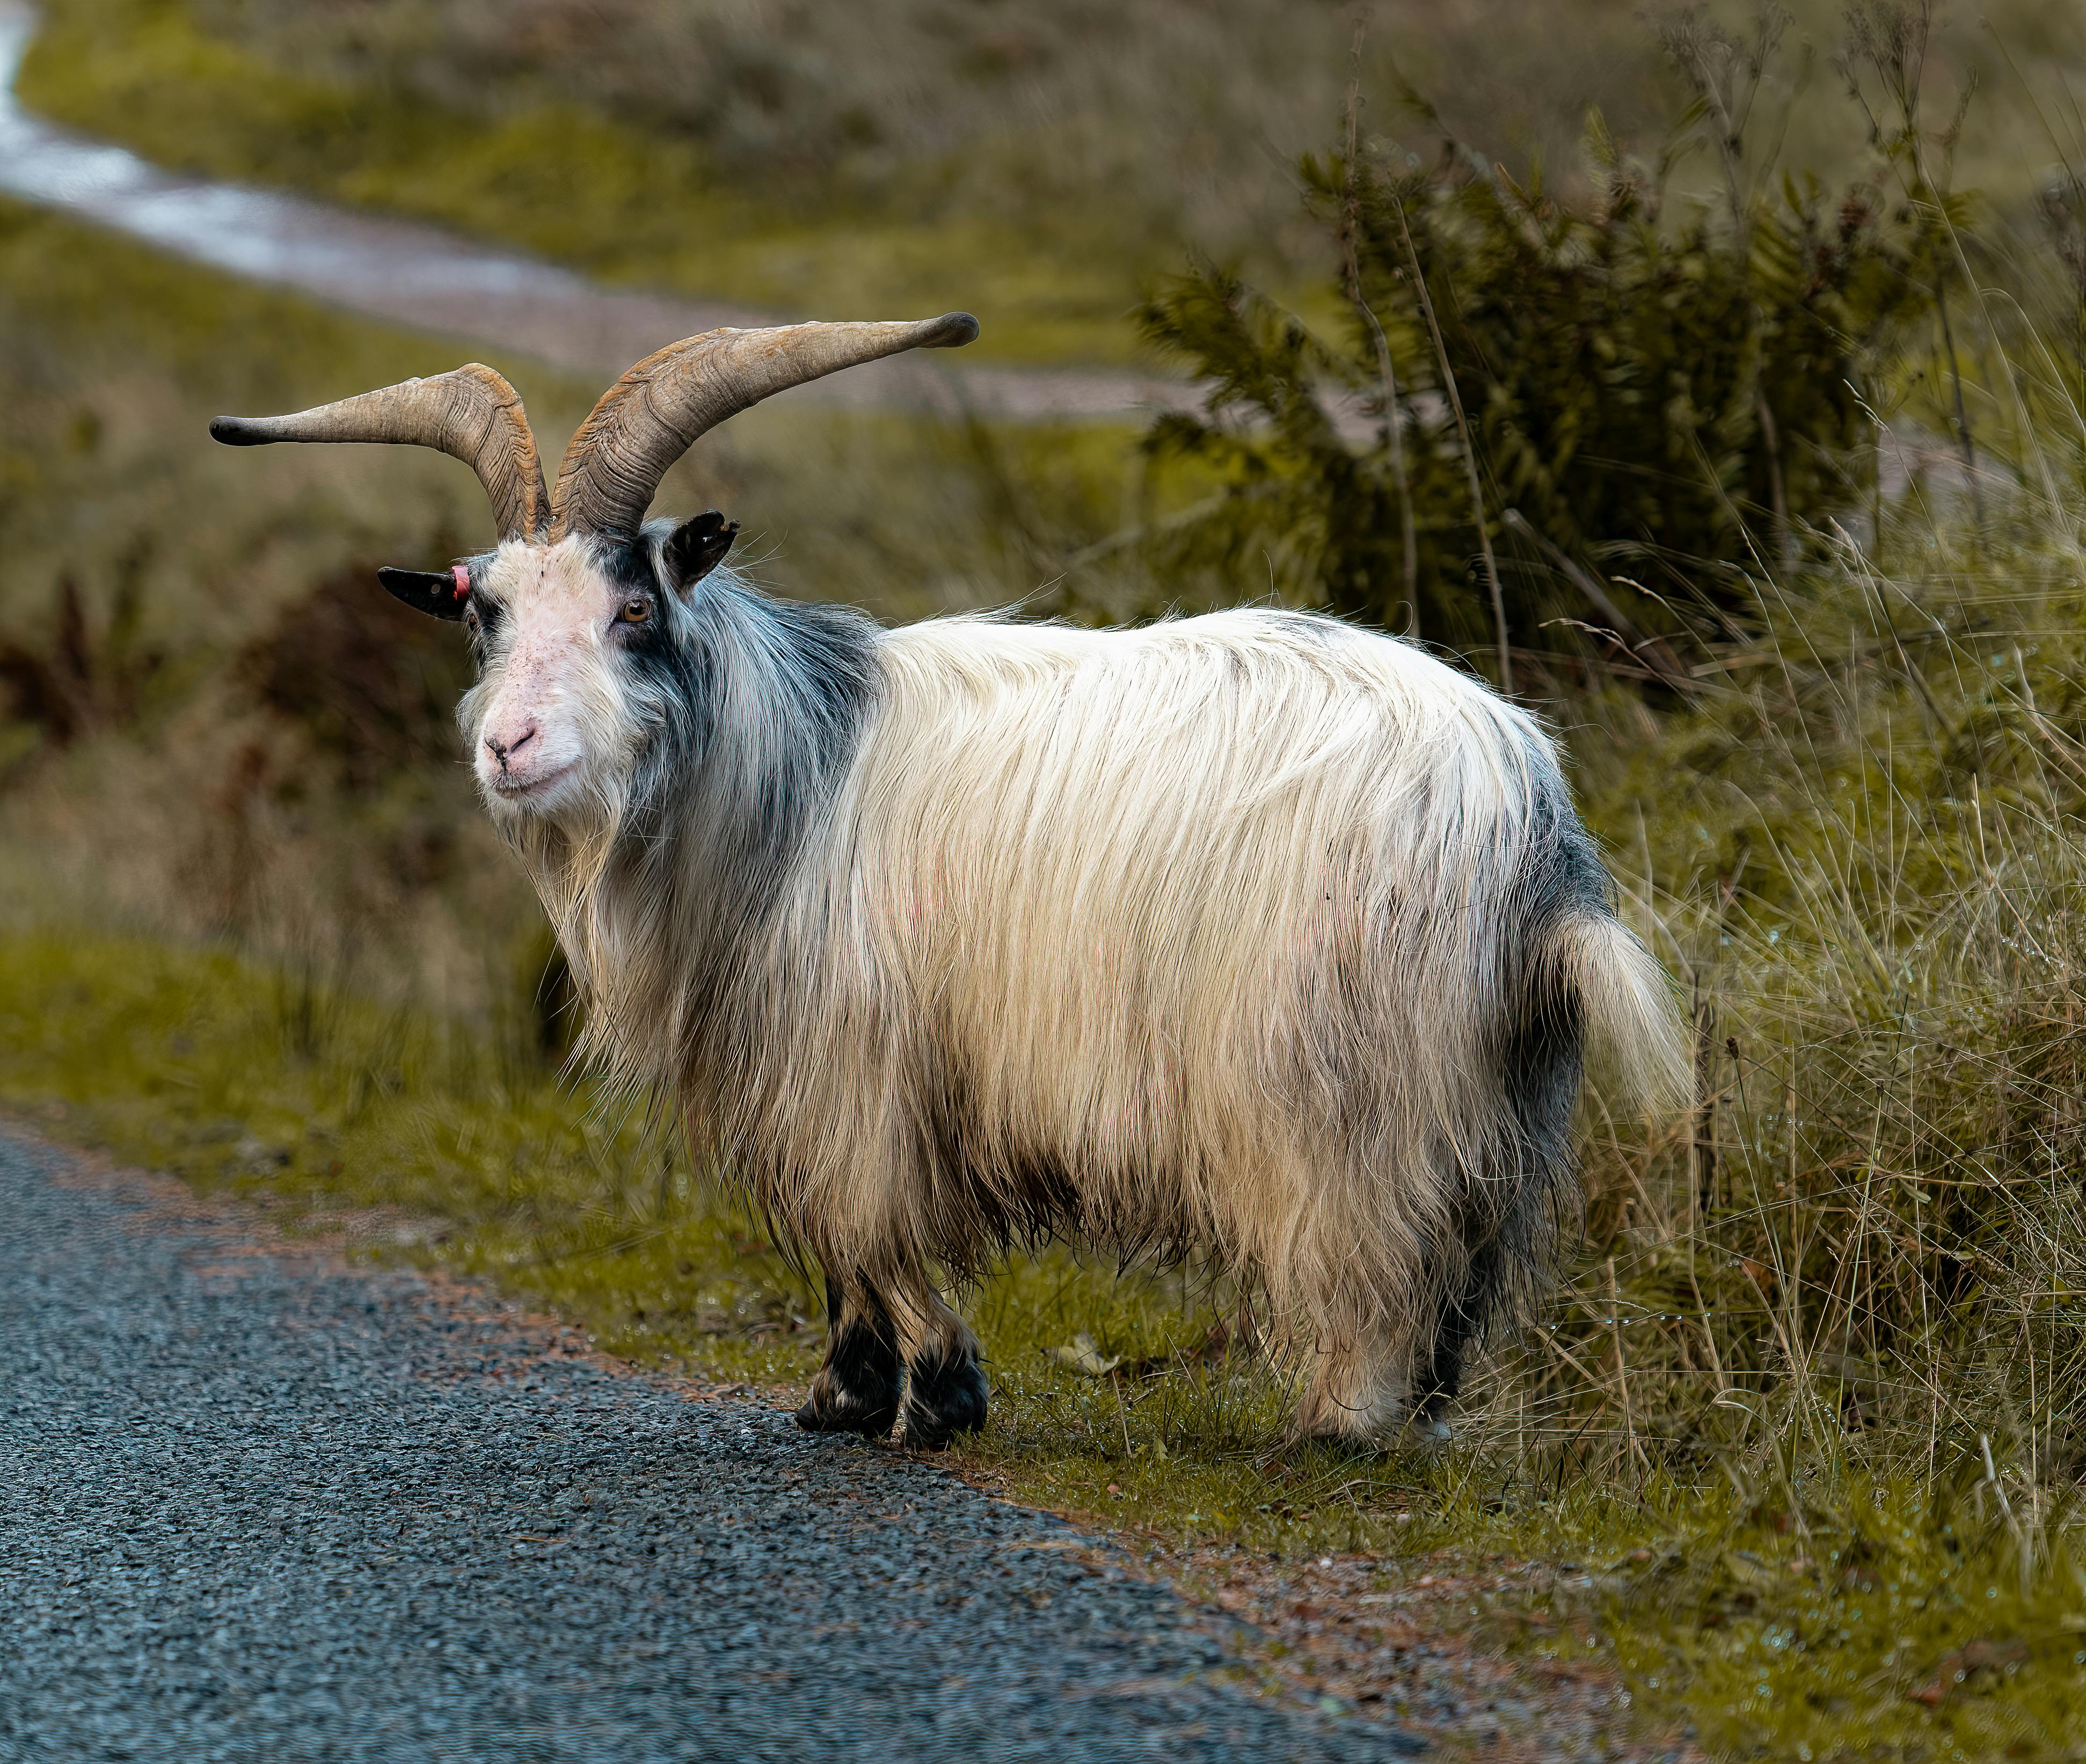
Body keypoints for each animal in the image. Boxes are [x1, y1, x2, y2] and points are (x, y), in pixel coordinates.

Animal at [213, 314, 1687, 1448]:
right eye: (483, 609)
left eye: (634, 609)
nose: (509, 745)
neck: (784, 766)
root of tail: (1530, 825)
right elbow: (835, 1246)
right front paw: (845, 1399)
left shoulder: (859, 1064)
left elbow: (874, 1230)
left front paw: (926, 1401)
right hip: (1494, 1088)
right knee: (1465, 1268)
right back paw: (1414, 1417)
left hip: (1336, 1081)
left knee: (1374, 1252)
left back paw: (1339, 1420)